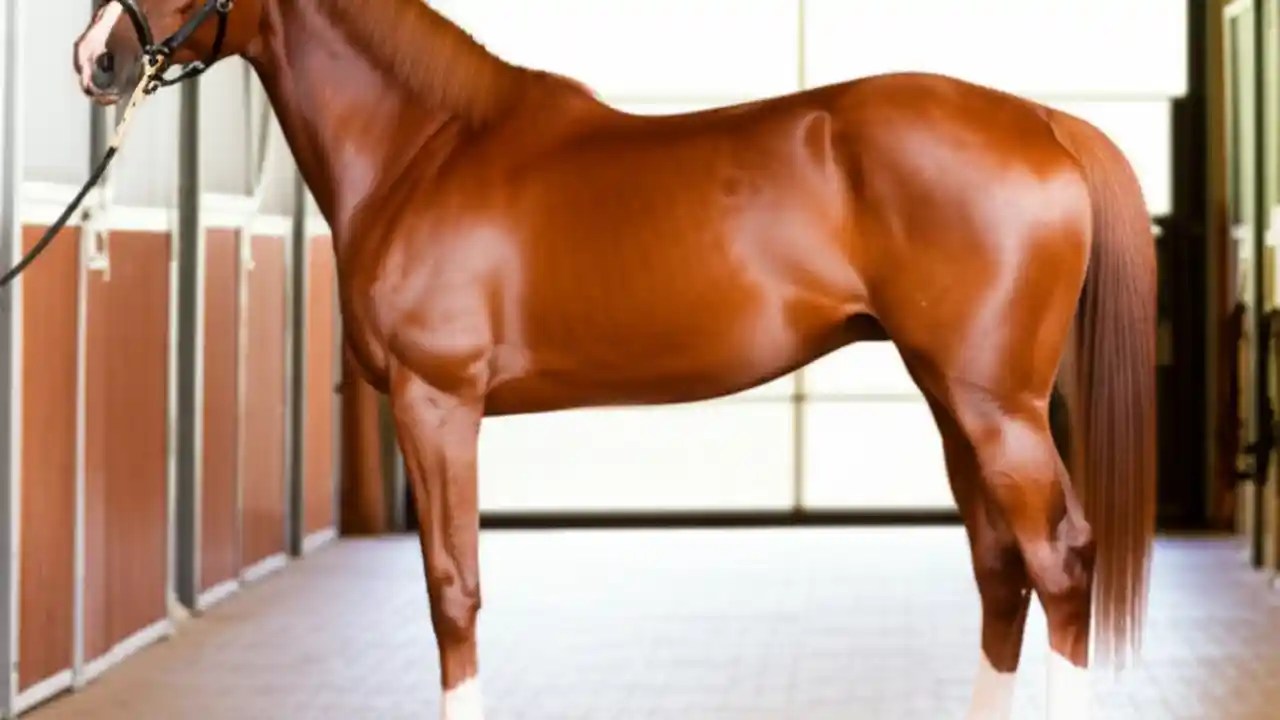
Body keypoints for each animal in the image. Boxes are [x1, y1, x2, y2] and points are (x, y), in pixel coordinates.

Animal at [72, 1, 1157, 718]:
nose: (97, 59)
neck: (423, 147)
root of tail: (1043, 121)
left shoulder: (436, 403)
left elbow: (452, 590)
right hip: (950, 400)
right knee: (1000, 571)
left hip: (994, 407)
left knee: (1058, 563)